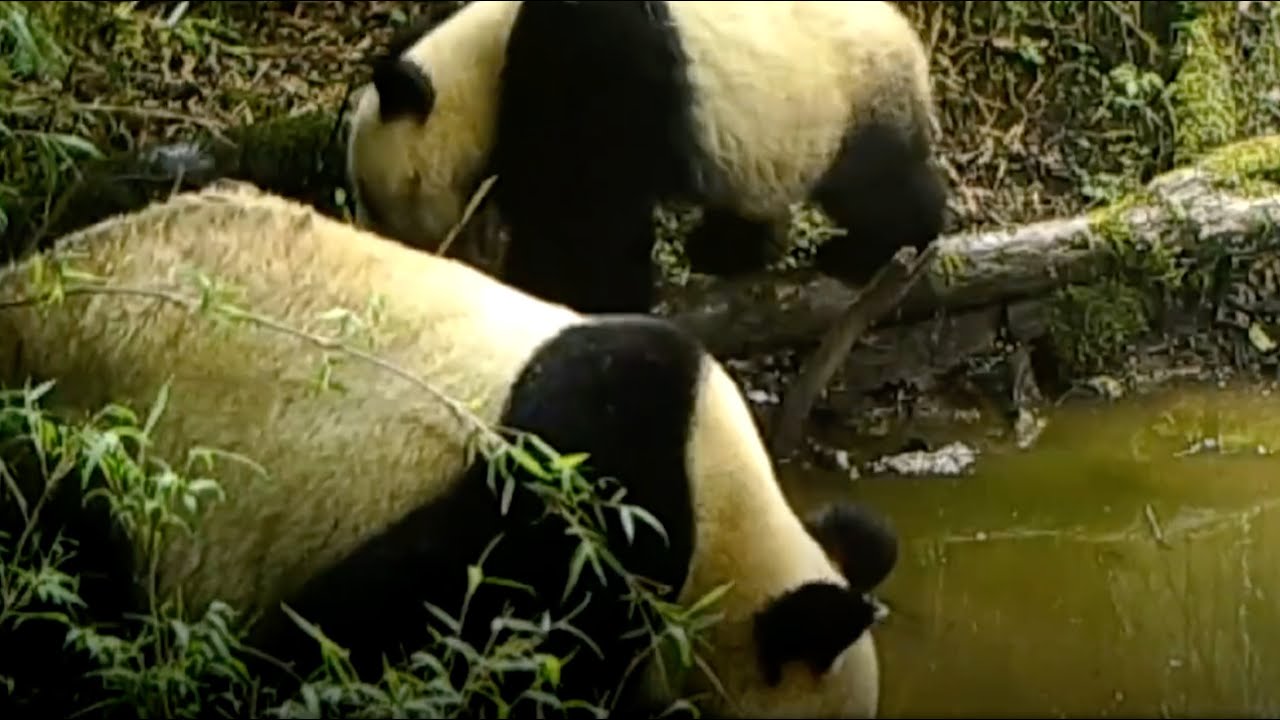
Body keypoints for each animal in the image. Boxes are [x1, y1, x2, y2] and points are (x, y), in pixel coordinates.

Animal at [0, 182, 899, 717]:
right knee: (66, 582)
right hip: (85, 433)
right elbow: (407, 632)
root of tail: (26, 283)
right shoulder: (587, 500)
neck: (722, 507)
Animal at [346, 0, 947, 315]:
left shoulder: (592, 67)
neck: (480, 62)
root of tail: (912, 42)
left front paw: (561, 293)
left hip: (850, 98)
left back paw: (874, 250)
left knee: (879, 187)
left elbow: (585, 218)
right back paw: (724, 250)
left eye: (378, 198)